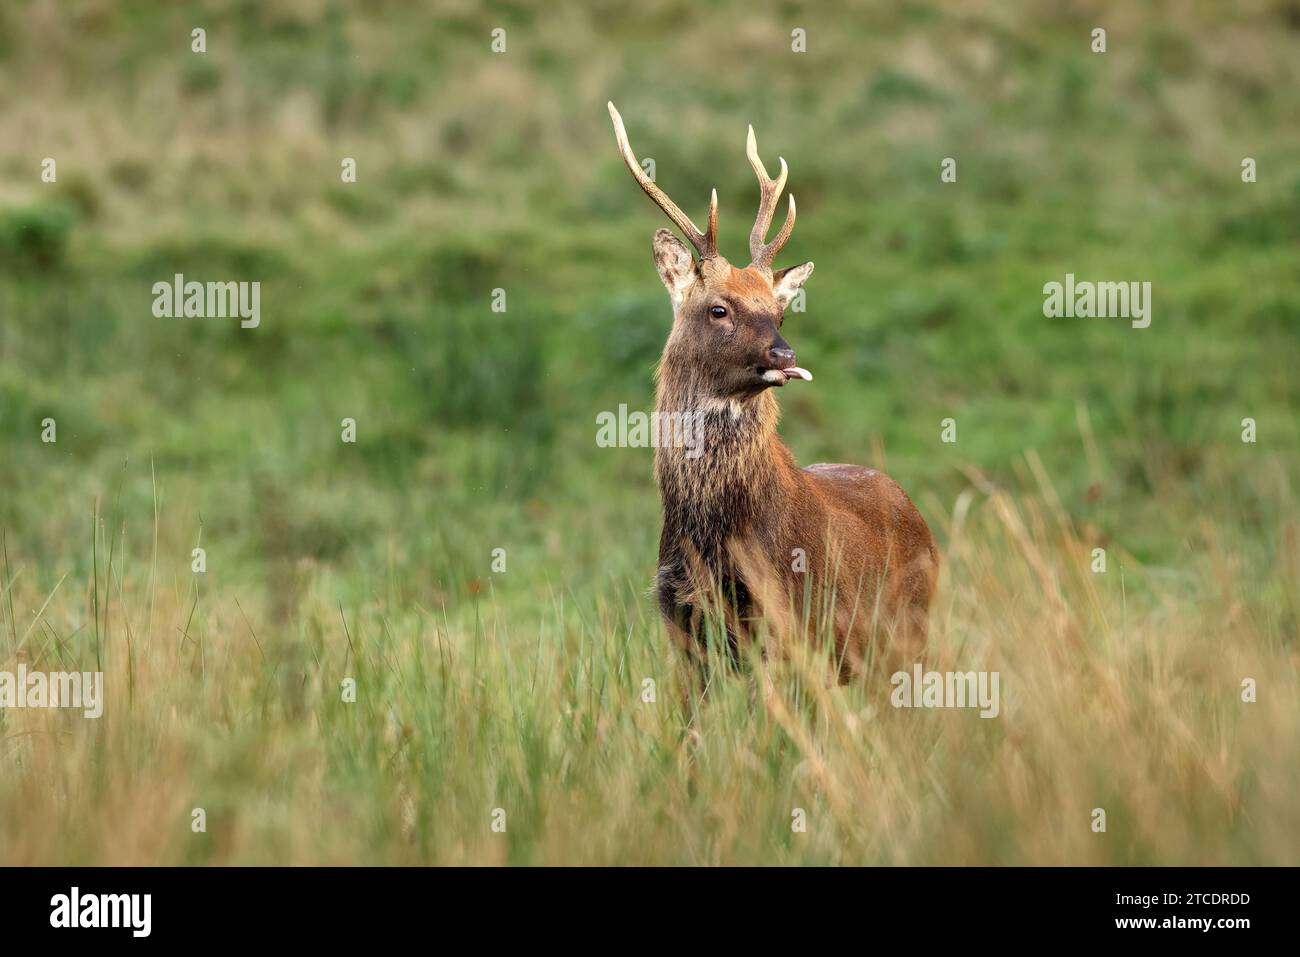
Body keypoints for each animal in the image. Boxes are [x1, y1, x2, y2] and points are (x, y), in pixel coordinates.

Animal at [607, 102, 938, 692]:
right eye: (719, 308)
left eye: (779, 313)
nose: (785, 354)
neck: (714, 539)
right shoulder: (679, 622)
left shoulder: (785, 620)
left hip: (907, 637)